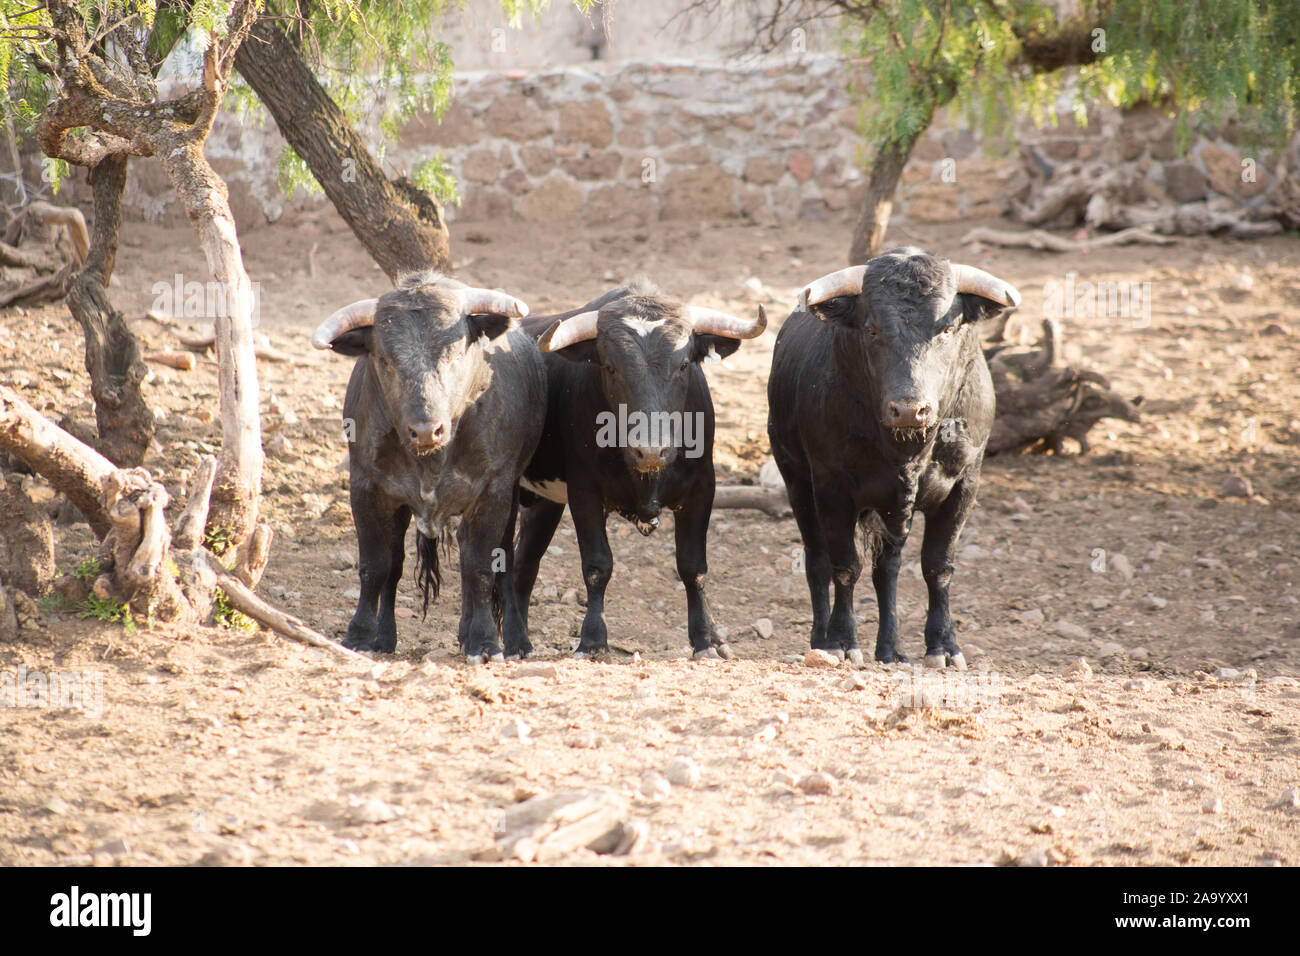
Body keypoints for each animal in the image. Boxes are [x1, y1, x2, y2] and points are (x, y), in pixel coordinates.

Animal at [311, 272, 547, 663]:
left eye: (455, 353)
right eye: (386, 359)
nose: (425, 430)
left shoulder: (493, 491)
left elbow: (480, 566)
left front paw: (485, 643)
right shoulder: (367, 487)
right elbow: (375, 565)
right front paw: (360, 635)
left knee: (501, 561)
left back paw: (513, 640)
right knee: (395, 563)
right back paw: (386, 636)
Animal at [508, 280, 766, 660]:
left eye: (684, 365)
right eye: (610, 367)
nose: (651, 450)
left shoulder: (703, 490)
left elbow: (693, 567)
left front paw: (706, 639)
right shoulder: (584, 493)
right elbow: (597, 566)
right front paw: (592, 639)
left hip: (543, 502)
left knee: (523, 564)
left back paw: (520, 642)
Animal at [767, 248, 1020, 669]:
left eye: (947, 329)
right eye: (871, 330)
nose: (908, 409)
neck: (907, 450)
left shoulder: (964, 484)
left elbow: (937, 566)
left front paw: (944, 646)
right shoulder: (831, 487)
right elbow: (845, 566)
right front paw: (842, 640)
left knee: (887, 569)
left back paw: (890, 649)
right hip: (796, 481)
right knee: (817, 560)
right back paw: (821, 638)